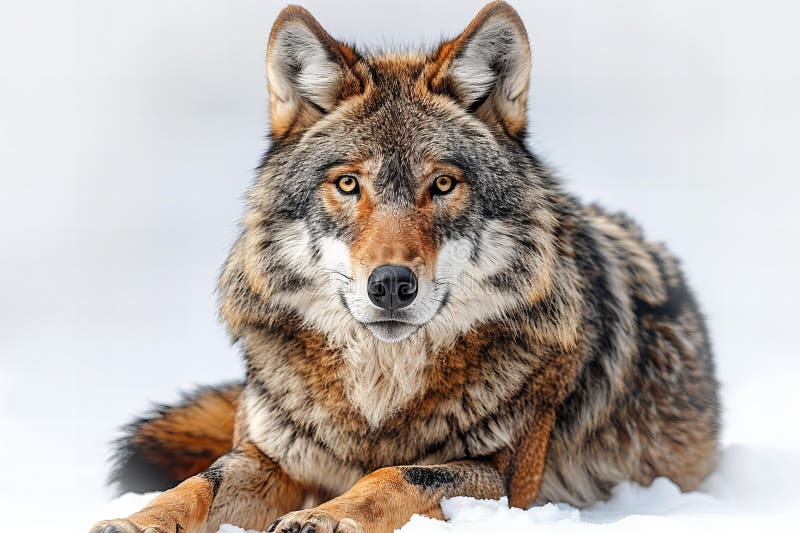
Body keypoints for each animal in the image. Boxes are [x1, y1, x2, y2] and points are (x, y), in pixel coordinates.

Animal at [90, 2, 720, 533]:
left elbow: (395, 474)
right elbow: (198, 483)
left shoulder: (503, 478)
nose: (391, 284)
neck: (378, 396)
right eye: (349, 184)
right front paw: (135, 522)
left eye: (441, 184)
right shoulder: (268, 455)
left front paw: (323, 518)